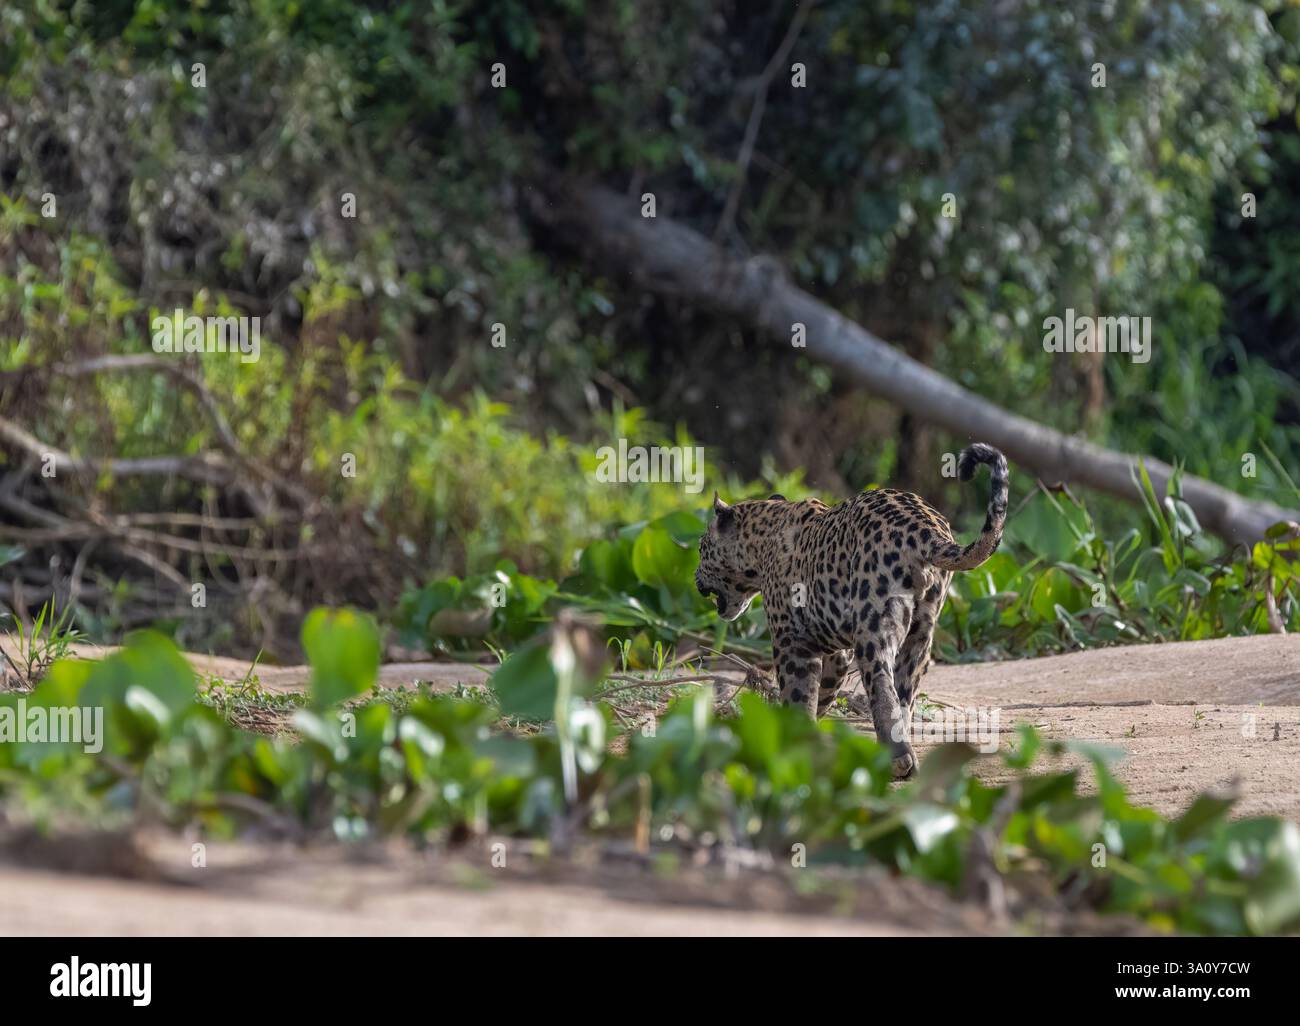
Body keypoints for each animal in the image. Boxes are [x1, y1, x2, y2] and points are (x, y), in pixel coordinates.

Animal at [695, 442, 1009, 779]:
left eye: (701, 548)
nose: (695, 576)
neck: (761, 541)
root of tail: (927, 530)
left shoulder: (790, 639)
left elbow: (798, 693)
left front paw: (789, 739)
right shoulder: (834, 648)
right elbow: (824, 691)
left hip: (874, 627)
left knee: (882, 685)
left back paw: (898, 760)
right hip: (921, 633)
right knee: (904, 693)